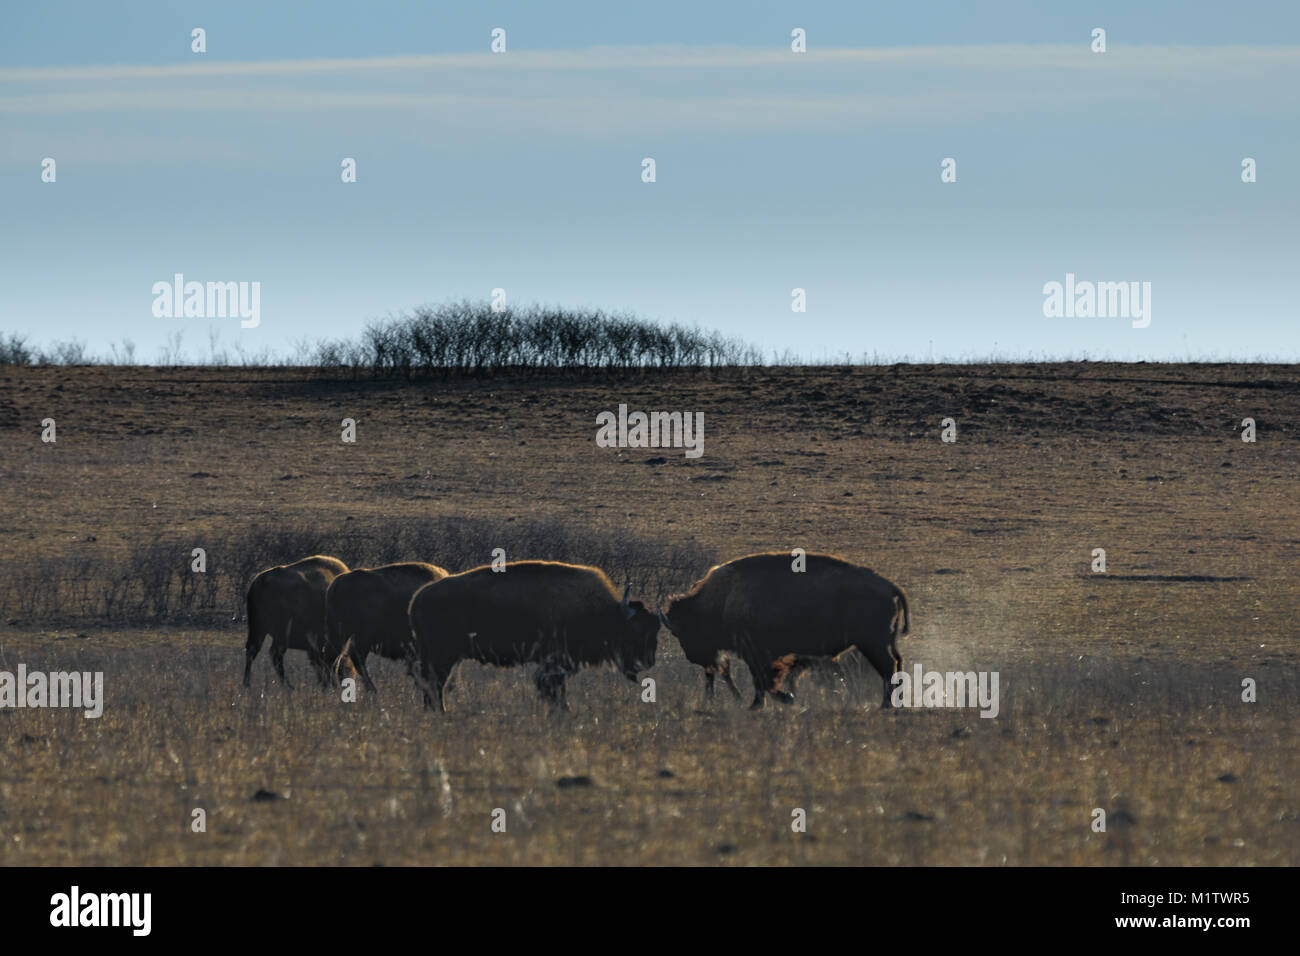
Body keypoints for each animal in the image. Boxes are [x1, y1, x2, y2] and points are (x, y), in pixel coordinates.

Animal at [244, 554, 349, 687]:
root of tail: (261, 581)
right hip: (279, 633)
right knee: (275, 654)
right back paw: (288, 686)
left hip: (258, 629)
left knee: (252, 651)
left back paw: (247, 684)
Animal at [407, 560, 659, 712]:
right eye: (635, 630)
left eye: (655, 629)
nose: (648, 661)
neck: (603, 612)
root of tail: (418, 597)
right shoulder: (555, 663)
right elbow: (552, 689)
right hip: (442, 656)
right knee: (435, 683)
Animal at [659, 552, 910, 710]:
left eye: (682, 632)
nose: (693, 657)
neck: (723, 598)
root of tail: (889, 585)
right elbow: (765, 680)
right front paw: (765, 703)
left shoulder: (756, 653)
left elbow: (763, 679)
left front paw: (780, 700)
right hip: (883, 642)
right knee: (896, 663)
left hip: (873, 643)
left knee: (888, 667)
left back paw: (885, 705)